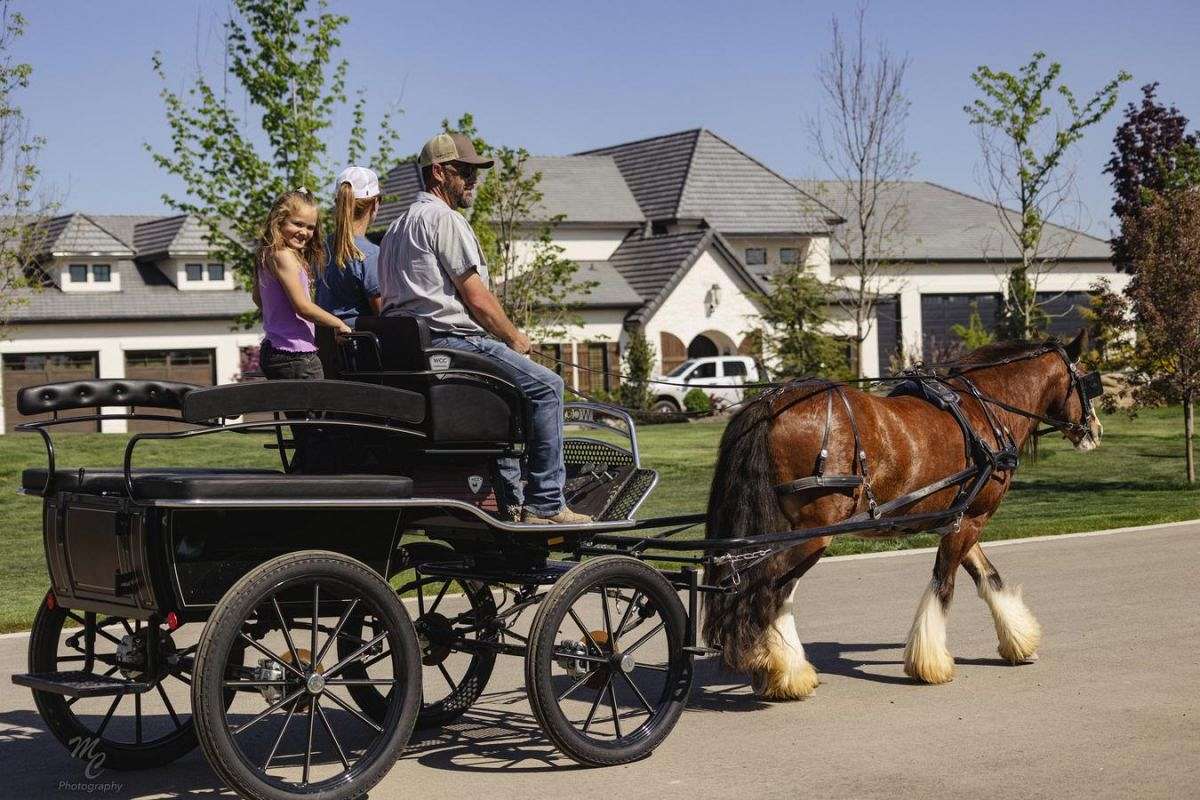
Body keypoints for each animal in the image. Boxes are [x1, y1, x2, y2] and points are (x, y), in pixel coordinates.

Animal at [701, 331, 1102, 699]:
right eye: (1087, 380)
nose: (1095, 430)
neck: (985, 410)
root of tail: (769, 402)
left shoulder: (959, 518)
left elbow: (989, 577)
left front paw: (1019, 642)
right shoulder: (972, 519)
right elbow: (944, 585)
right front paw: (931, 663)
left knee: (766, 590)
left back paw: (779, 669)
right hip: (813, 532)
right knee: (770, 589)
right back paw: (786, 672)